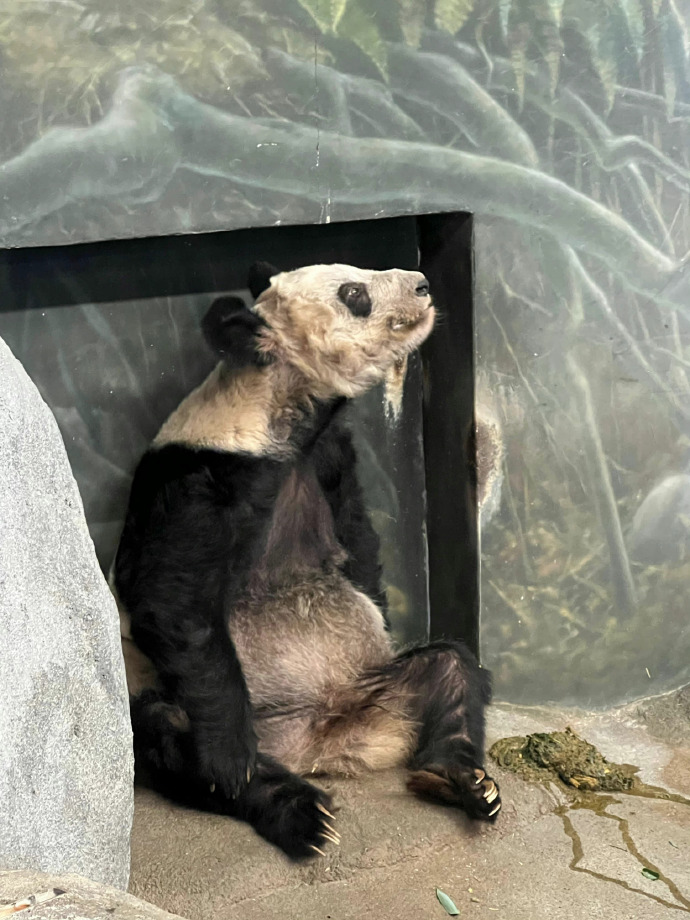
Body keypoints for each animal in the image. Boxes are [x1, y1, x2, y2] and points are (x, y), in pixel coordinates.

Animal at [112, 261, 501, 859]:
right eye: (354, 293)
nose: (422, 284)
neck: (276, 413)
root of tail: (316, 748)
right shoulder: (197, 481)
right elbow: (172, 599)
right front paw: (230, 759)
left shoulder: (329, 455)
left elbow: (359, 544)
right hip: (173, 693)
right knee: (172, 735)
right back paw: (296, 810)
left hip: (372, 688)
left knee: (452, 670)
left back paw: (460, 781)